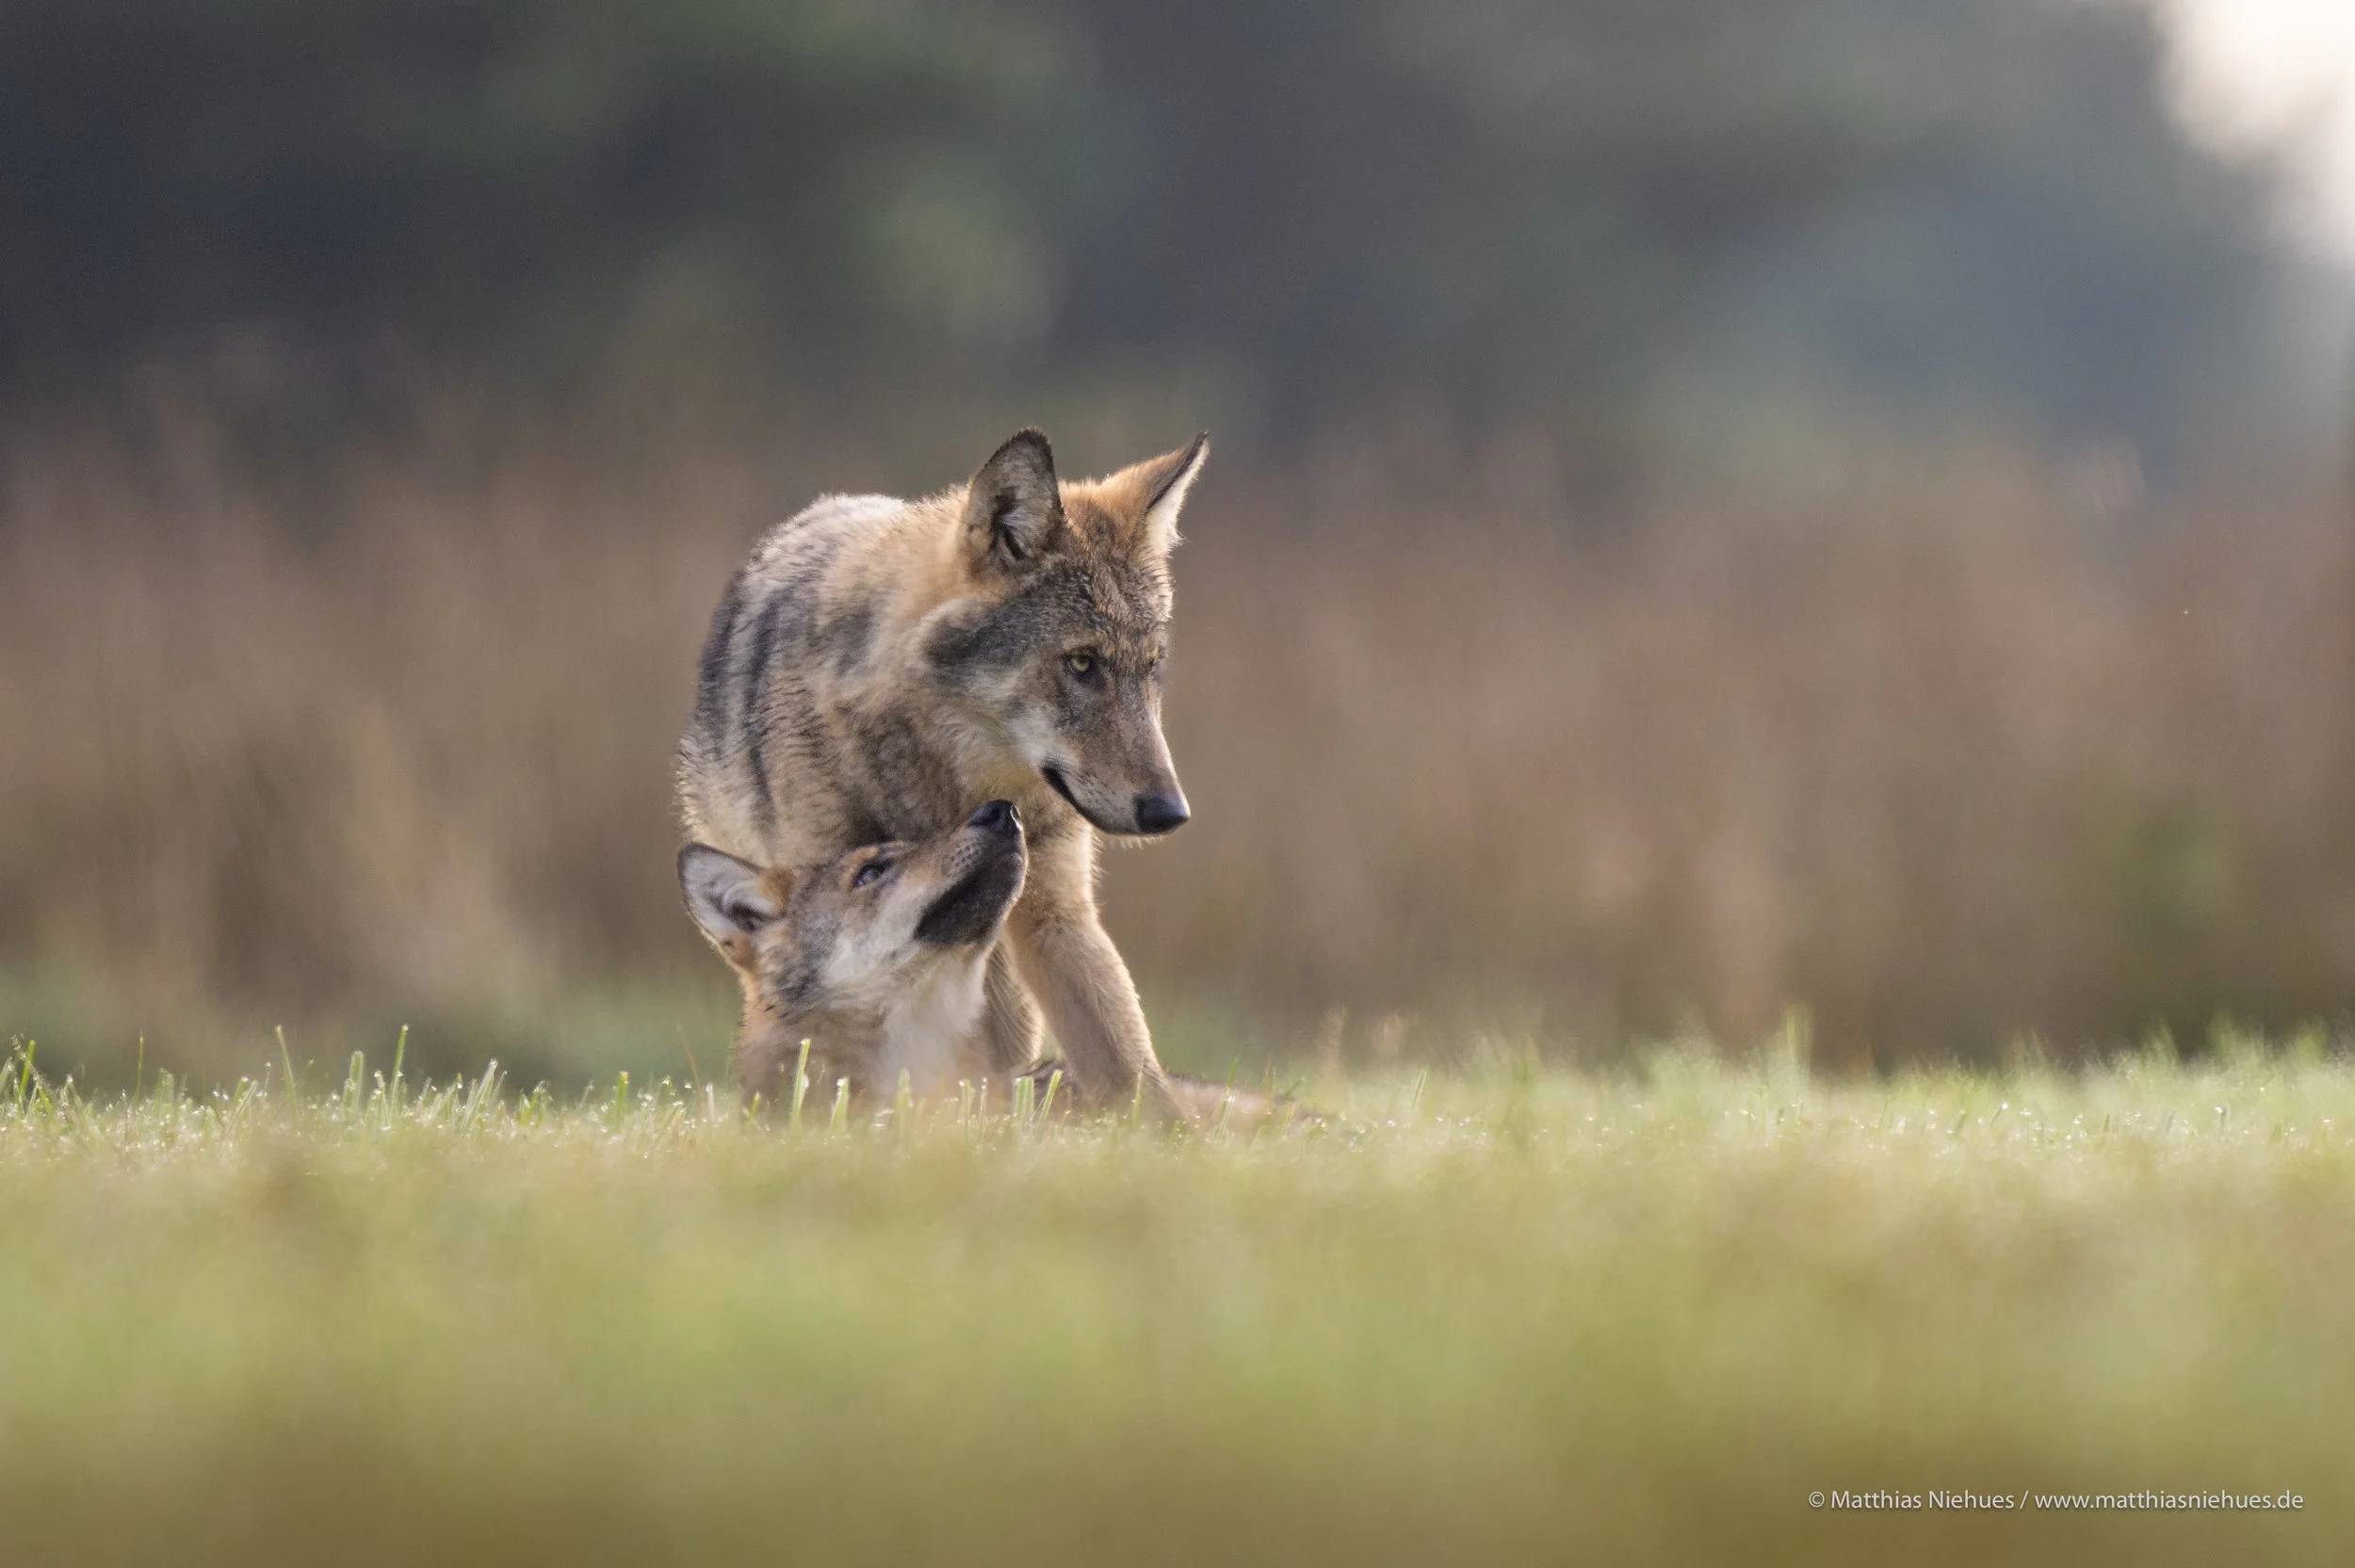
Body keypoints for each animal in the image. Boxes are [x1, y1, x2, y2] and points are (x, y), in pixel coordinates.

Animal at [677, 429, 1207, 1113]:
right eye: (1082, 662)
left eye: (1151, 666)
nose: (1170, 811)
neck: (951, 787)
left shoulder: (1058, 915)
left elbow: (1131, 1070)